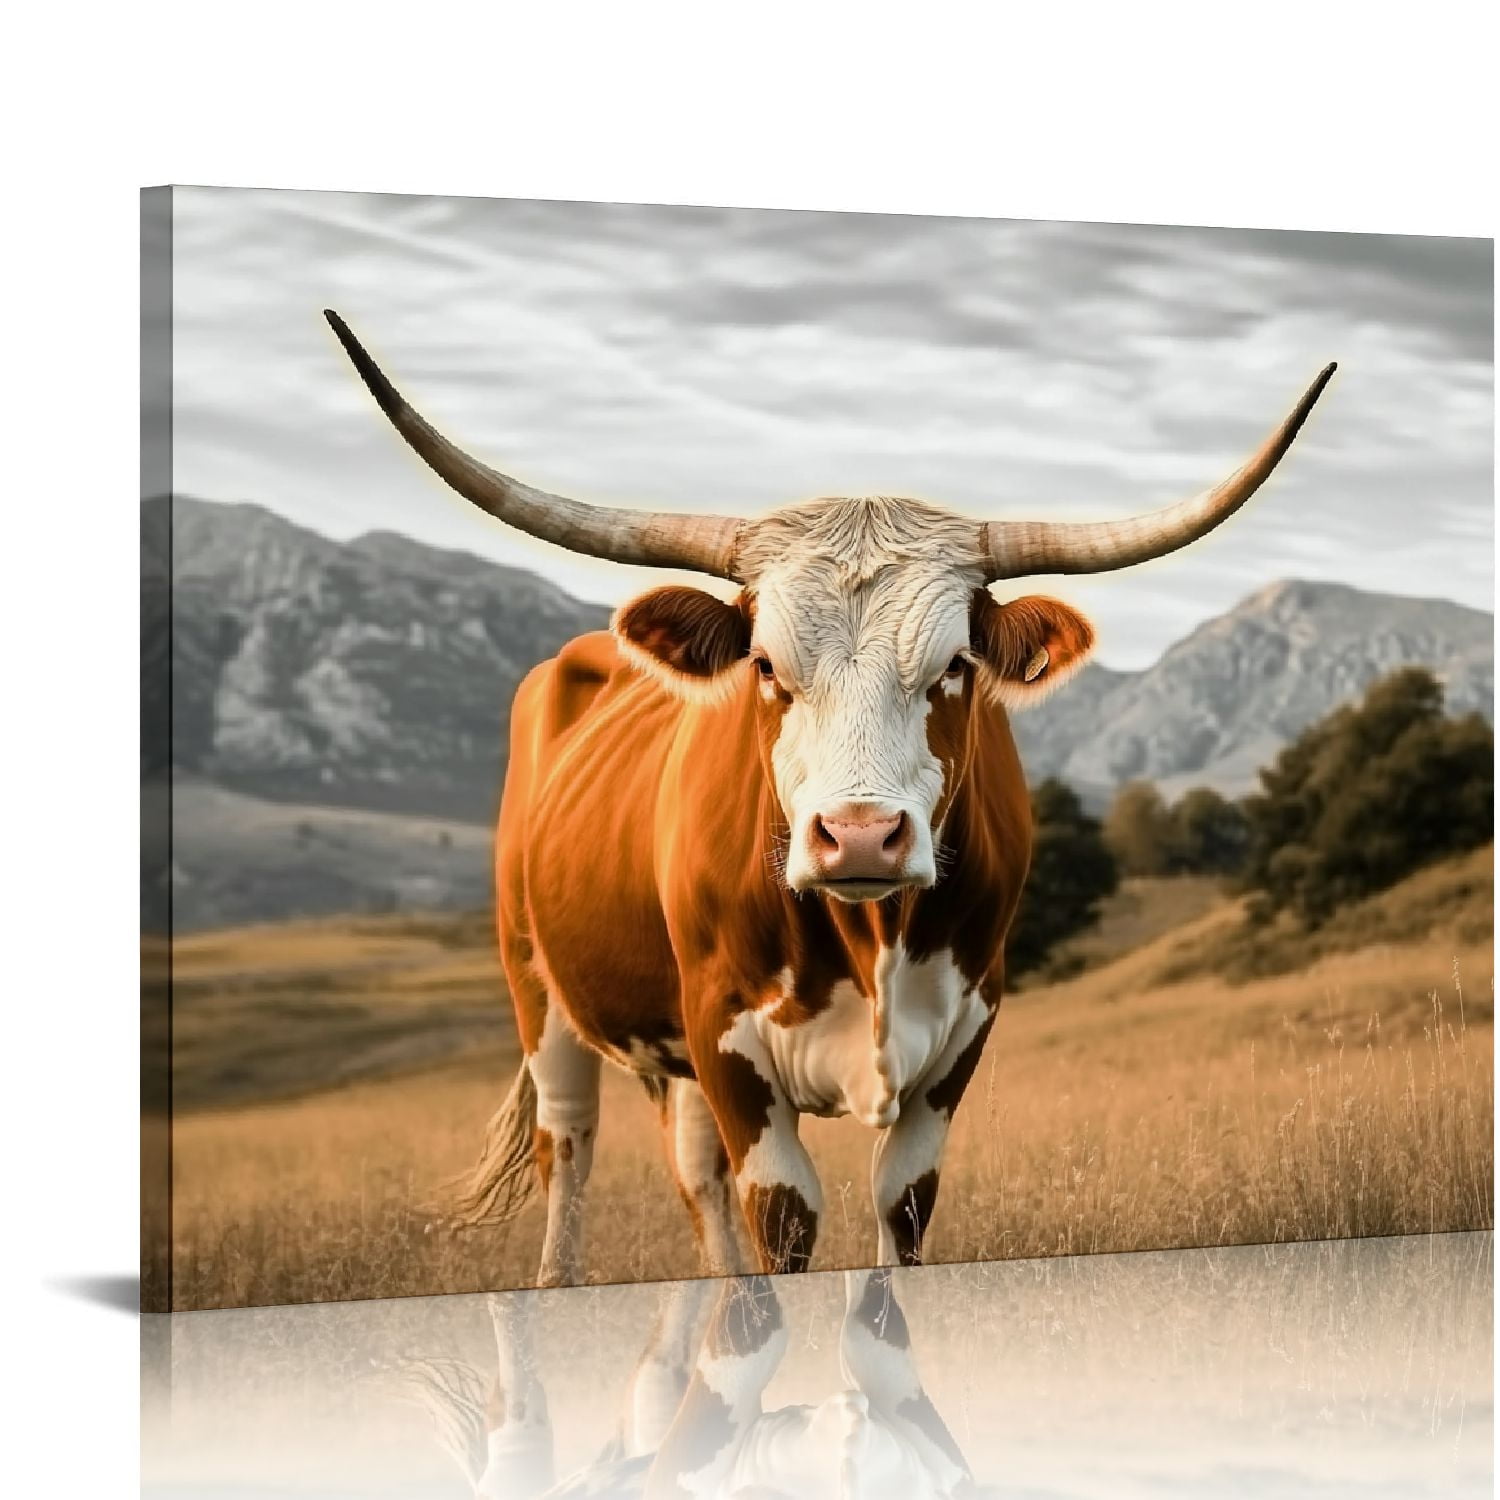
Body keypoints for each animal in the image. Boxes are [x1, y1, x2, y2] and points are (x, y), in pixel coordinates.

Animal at [326, 309, 1335, 1285]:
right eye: (767, 666)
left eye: (955, 664)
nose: (858, 838)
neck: (872, 937)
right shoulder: (727, 1041)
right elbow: (782, 1219)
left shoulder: (962, 1035)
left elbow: (901, 1213)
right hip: (541, 993)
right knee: (568, 1154)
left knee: (692, 1175)